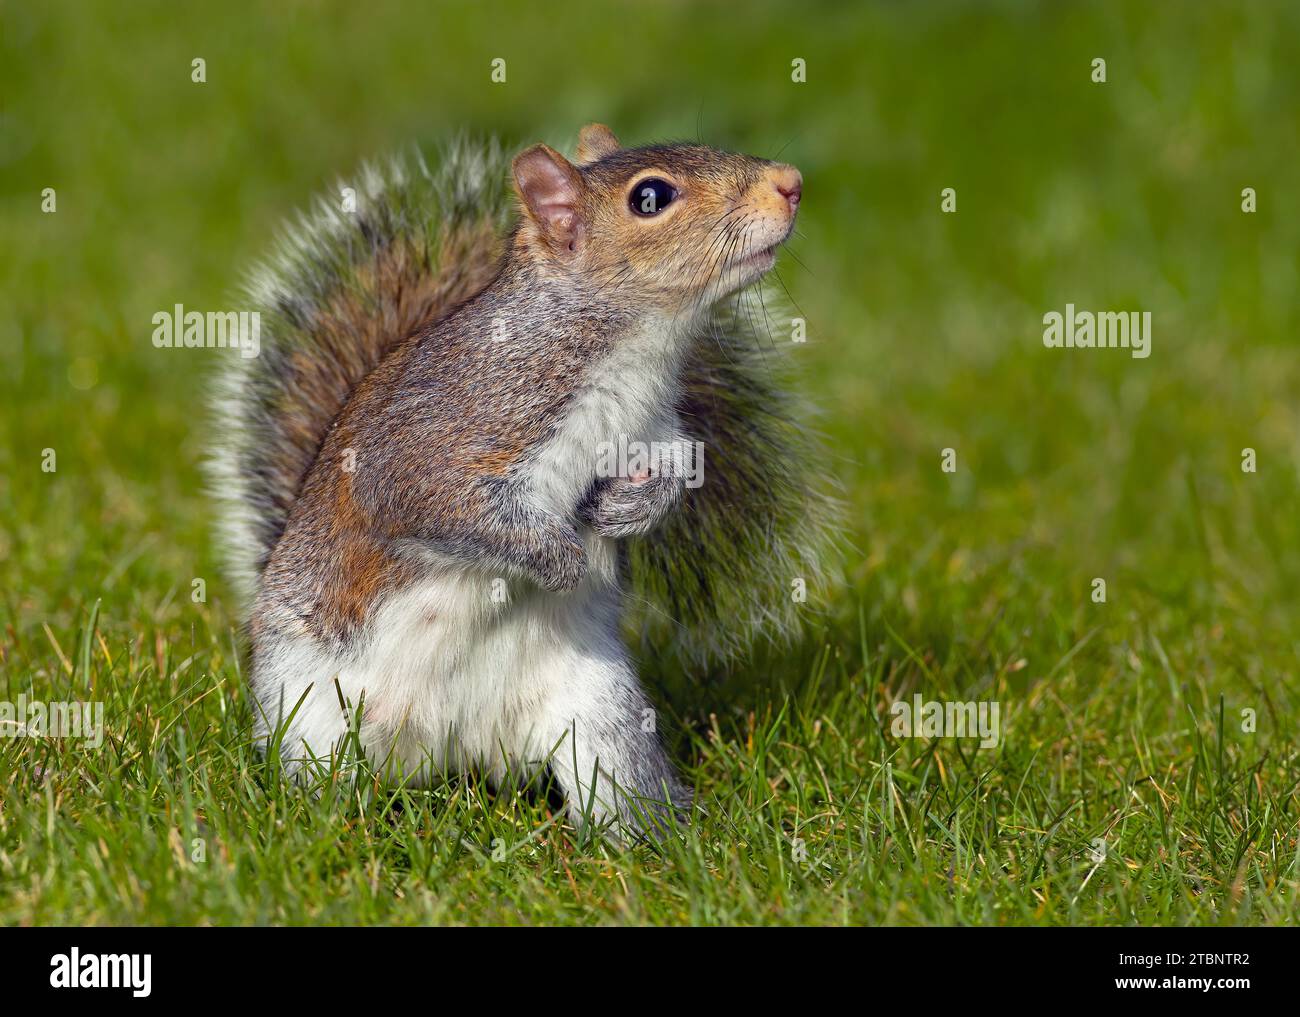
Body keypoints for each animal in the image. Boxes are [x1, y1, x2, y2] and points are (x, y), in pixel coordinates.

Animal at [208, 124, 839, 835]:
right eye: (650, 198)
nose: (790, 183)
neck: (631, 354)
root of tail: (454, 753)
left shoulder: (655, 431)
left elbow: (679, 470)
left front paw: (629, 510)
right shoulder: (439, 439)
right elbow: (447, 508)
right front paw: (560, 561)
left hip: (598, 713)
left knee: (614, 780)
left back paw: (655, 836)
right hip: (311, 711)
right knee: (320, 778)